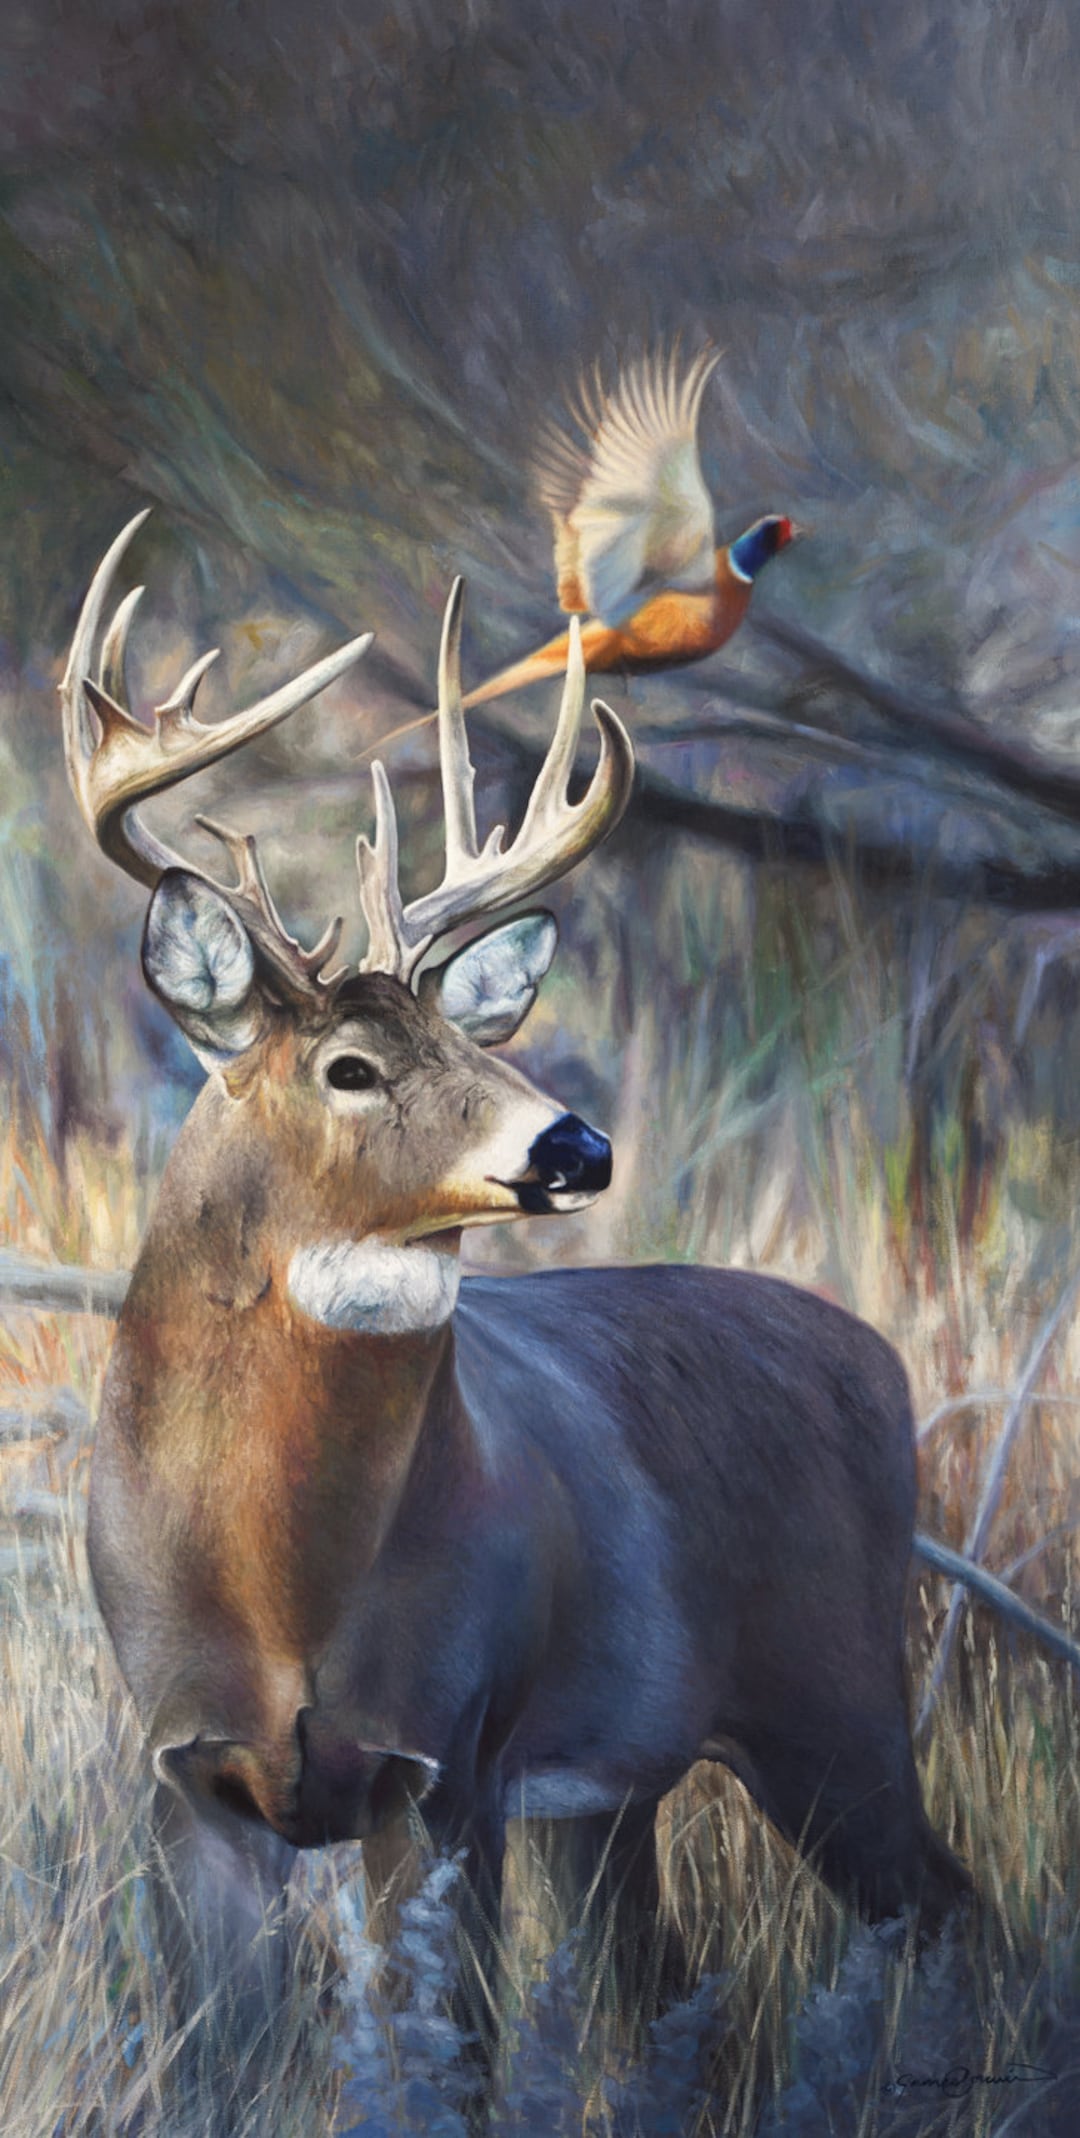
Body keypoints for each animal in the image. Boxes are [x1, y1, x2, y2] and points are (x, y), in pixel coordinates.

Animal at [62, 513, 969, 2116]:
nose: (577, 1146)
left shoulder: (450, 1758)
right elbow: (220, 2066)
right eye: (351, 1064)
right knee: (674, 1988)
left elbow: (460, 2064)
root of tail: (876, 1353)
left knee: (941, 1904)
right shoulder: (188, 1772)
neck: (279, 1585)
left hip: (838, 1692)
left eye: (473, 1034)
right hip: (624, 1787)